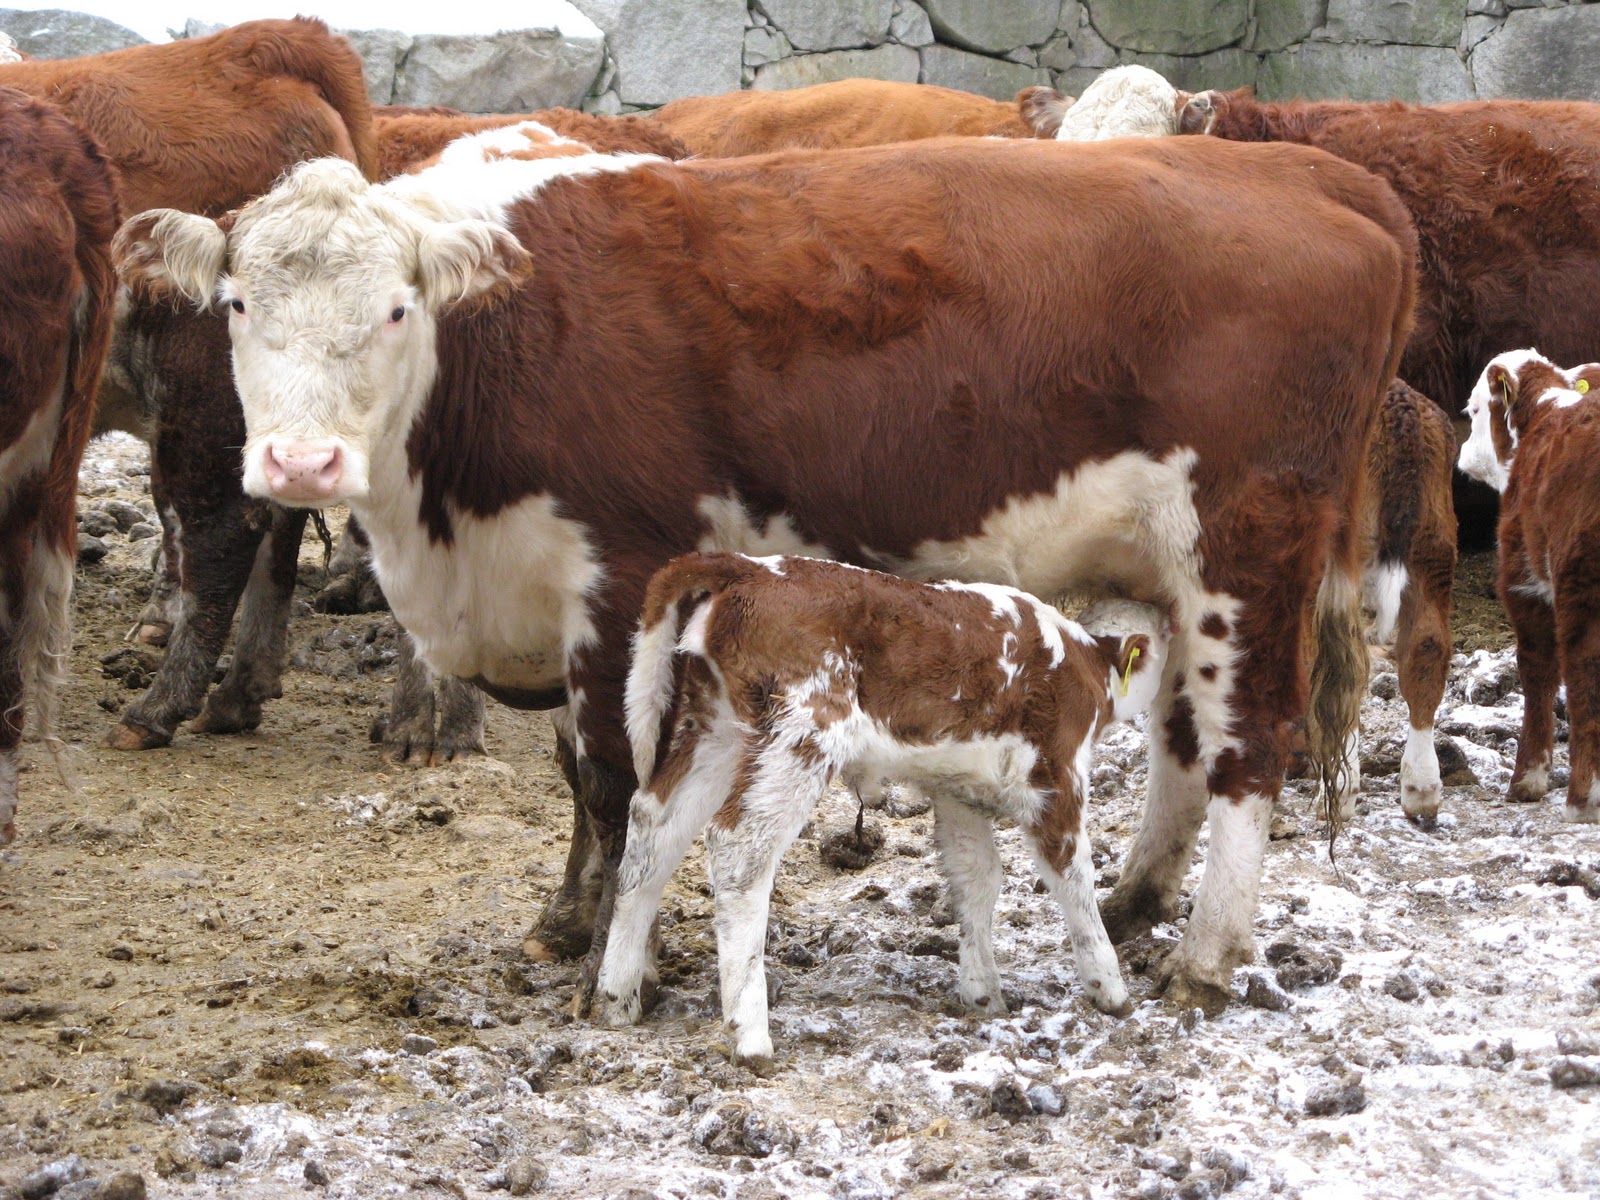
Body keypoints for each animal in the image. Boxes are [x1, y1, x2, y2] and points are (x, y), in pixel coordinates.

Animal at [594, 553, 1168, 1065]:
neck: (1083, 659)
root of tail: (747, 567)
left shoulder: (958, 792)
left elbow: (977, 877)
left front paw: (983, 992)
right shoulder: (1059, 775)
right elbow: (1073, 877)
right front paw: (1109, 988)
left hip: (716, 731)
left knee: (652, 830)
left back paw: (617, 997)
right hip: (801, 734)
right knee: (741, 847)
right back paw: (750, 1035)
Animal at [1458, 349, 1600, 825]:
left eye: (1474, 410)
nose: (1462, 453)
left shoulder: (1523, 580)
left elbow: (1537, 668)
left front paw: (1528, 779)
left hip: (1579, 584)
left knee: (1583, 671)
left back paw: (1581, 798)